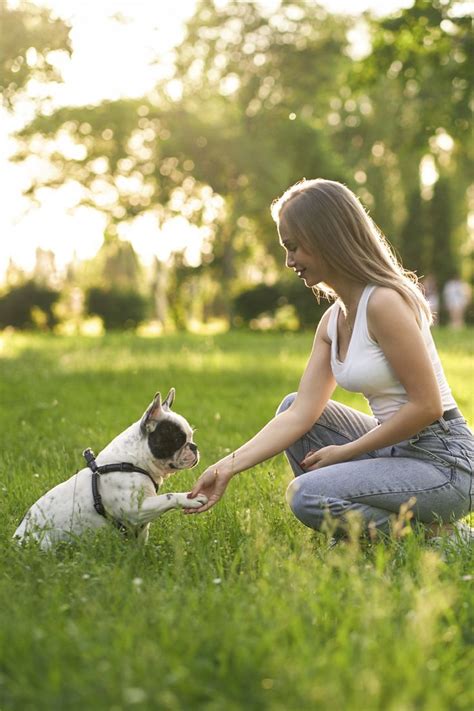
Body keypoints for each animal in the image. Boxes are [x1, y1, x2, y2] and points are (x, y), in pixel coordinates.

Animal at [14, 390, 207, 552]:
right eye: (178, 439)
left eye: (191, 436)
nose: (194, 447)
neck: (133, 462)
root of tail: (14, 541)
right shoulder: (136, 511)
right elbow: (169, 497)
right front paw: (190, 499)